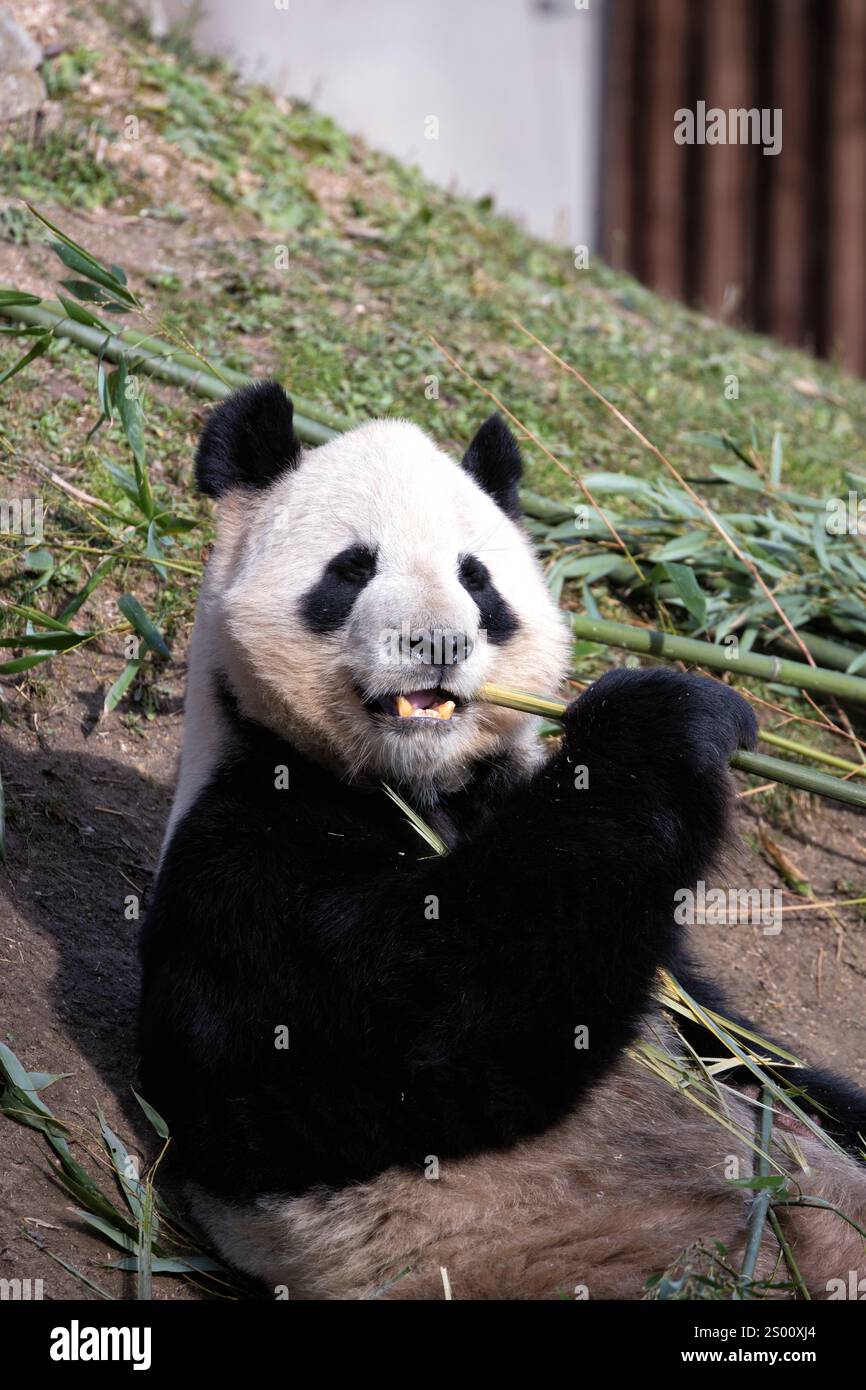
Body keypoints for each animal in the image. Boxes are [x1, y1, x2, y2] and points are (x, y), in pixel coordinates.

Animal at [139, 381, 866, 1300]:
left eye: (476, 579)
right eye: (352, 569)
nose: (437, 642)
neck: (417, 784)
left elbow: (728, 1038)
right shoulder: (242, 872)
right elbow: (447, 1008)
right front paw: (670, 714)